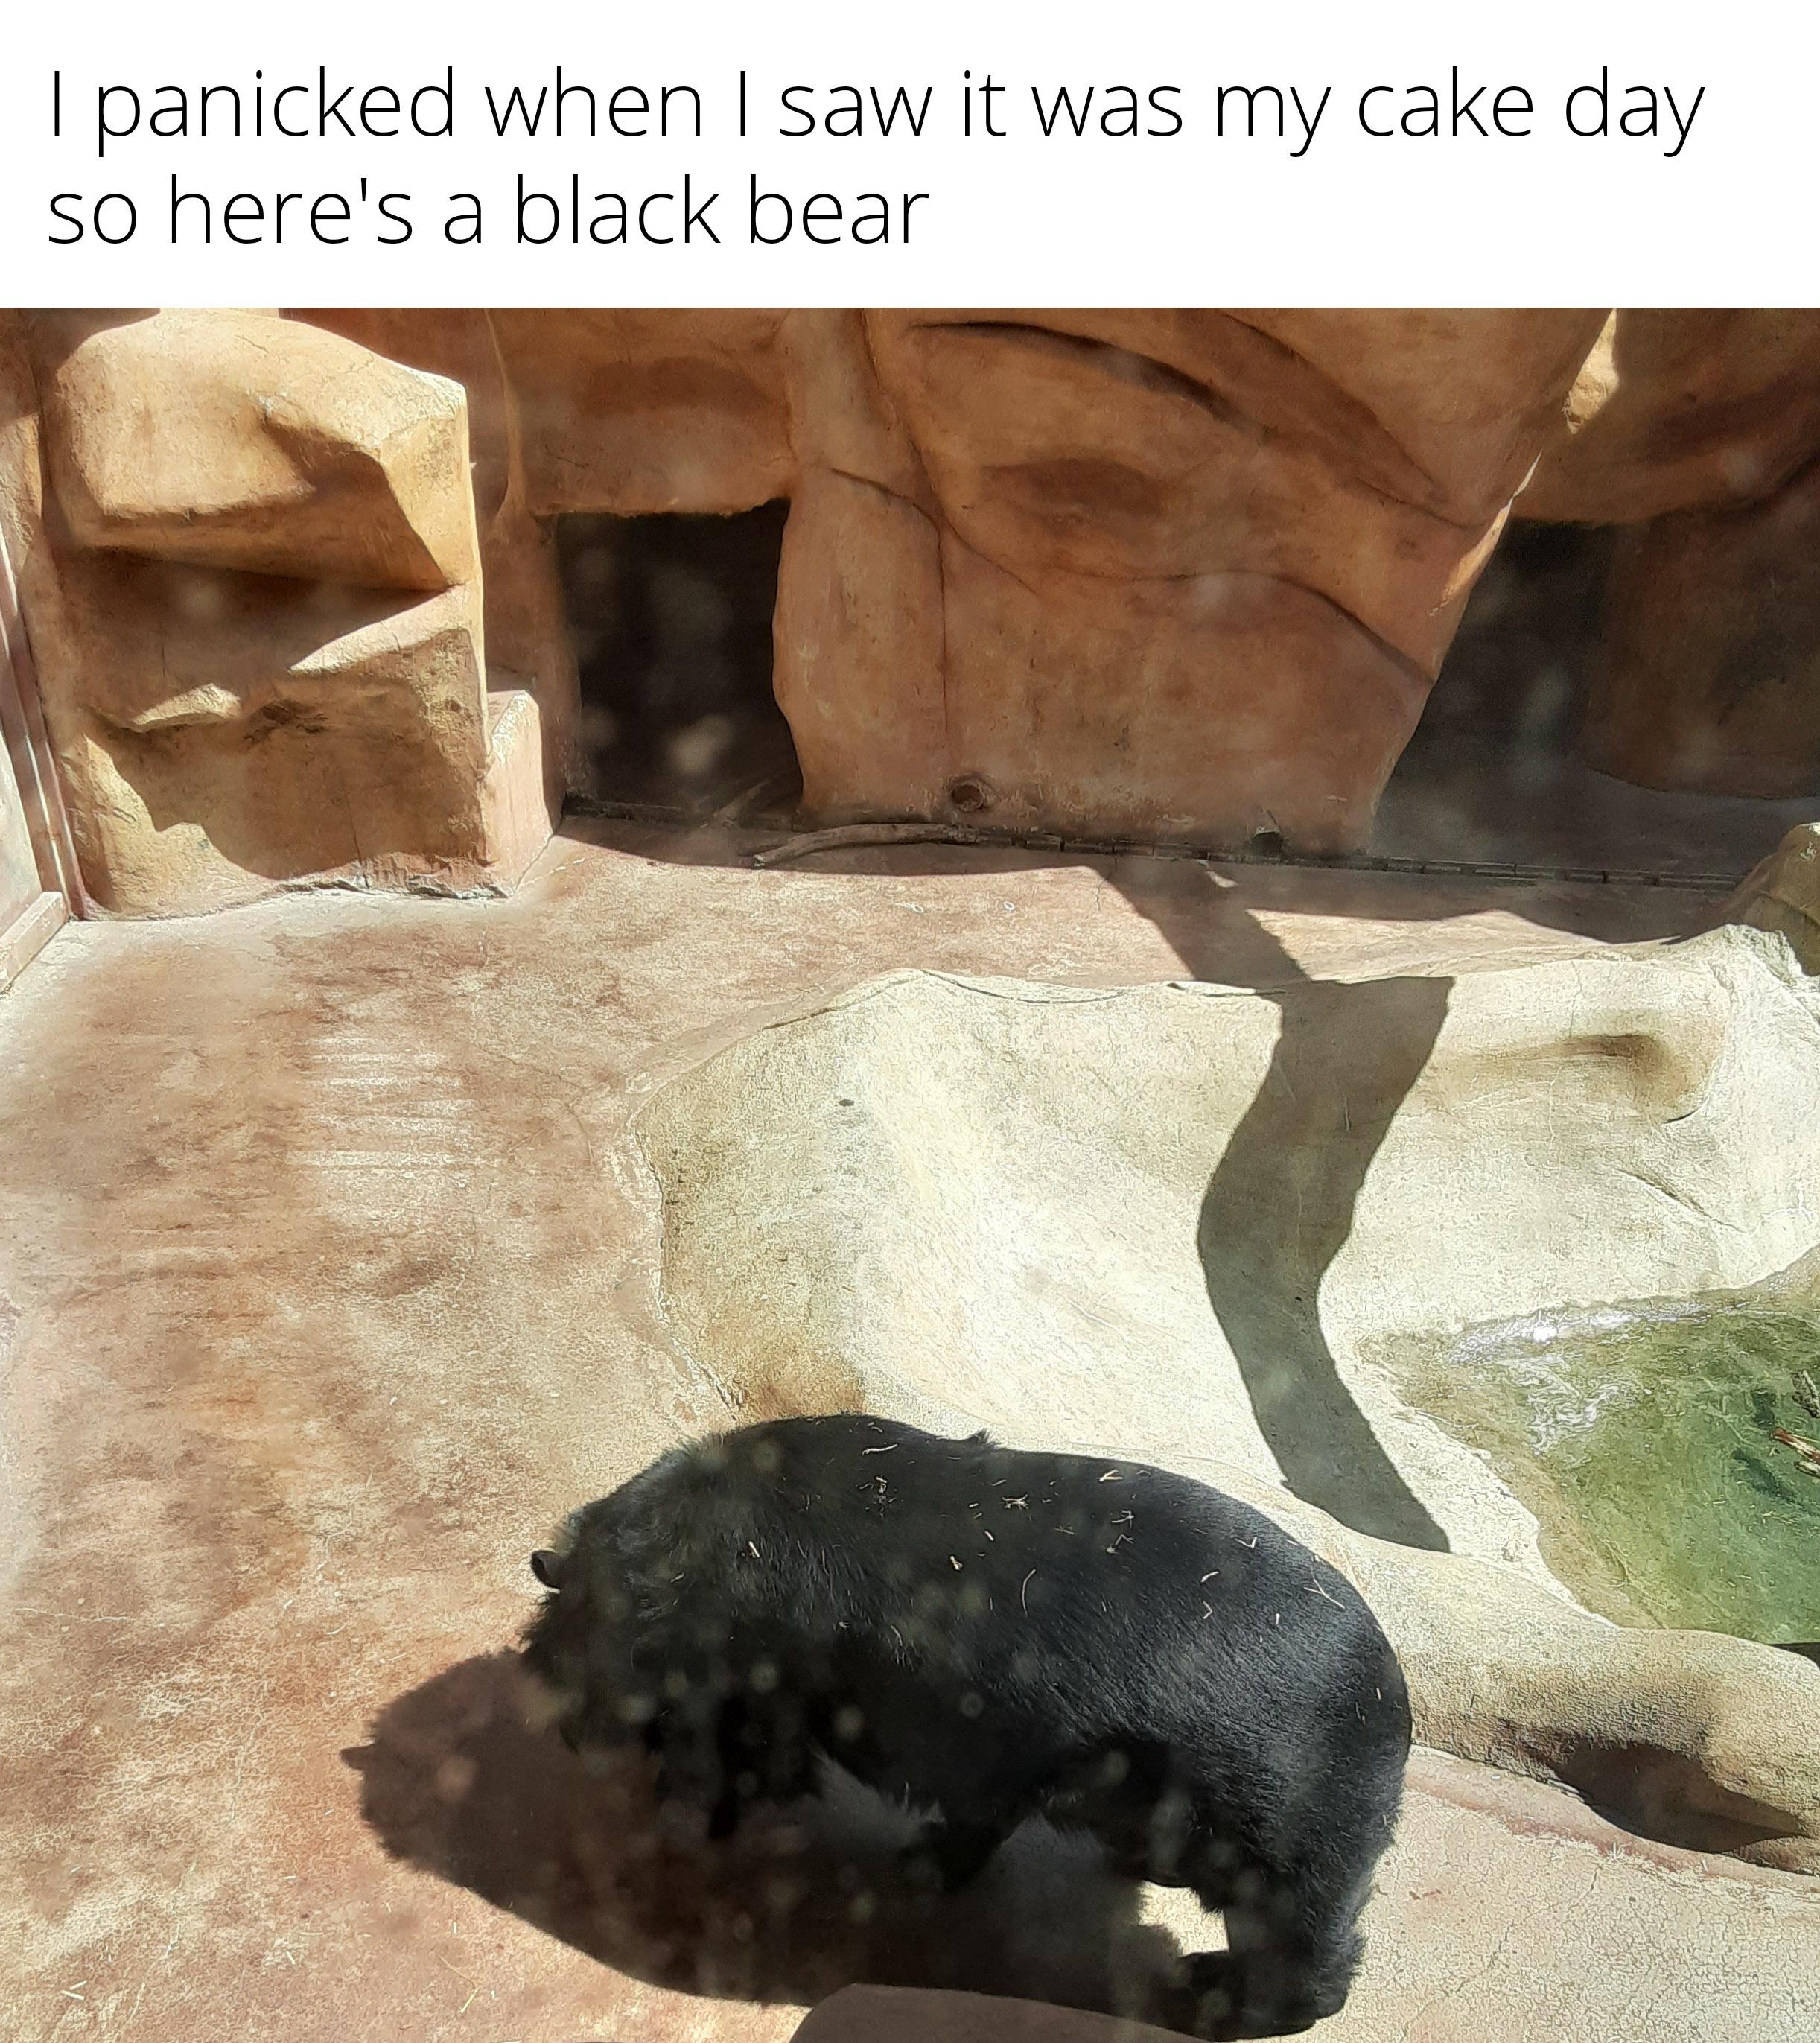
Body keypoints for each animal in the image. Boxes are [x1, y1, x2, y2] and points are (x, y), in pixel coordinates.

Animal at [521, 1414, 1411, 2039]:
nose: (564, 1726)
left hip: (1281, 1814)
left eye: (571, 1657)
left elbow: (746, 1751)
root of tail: (1392, 1708)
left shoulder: (773, 1674)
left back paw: (1208, 1993)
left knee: (1299, 1945)